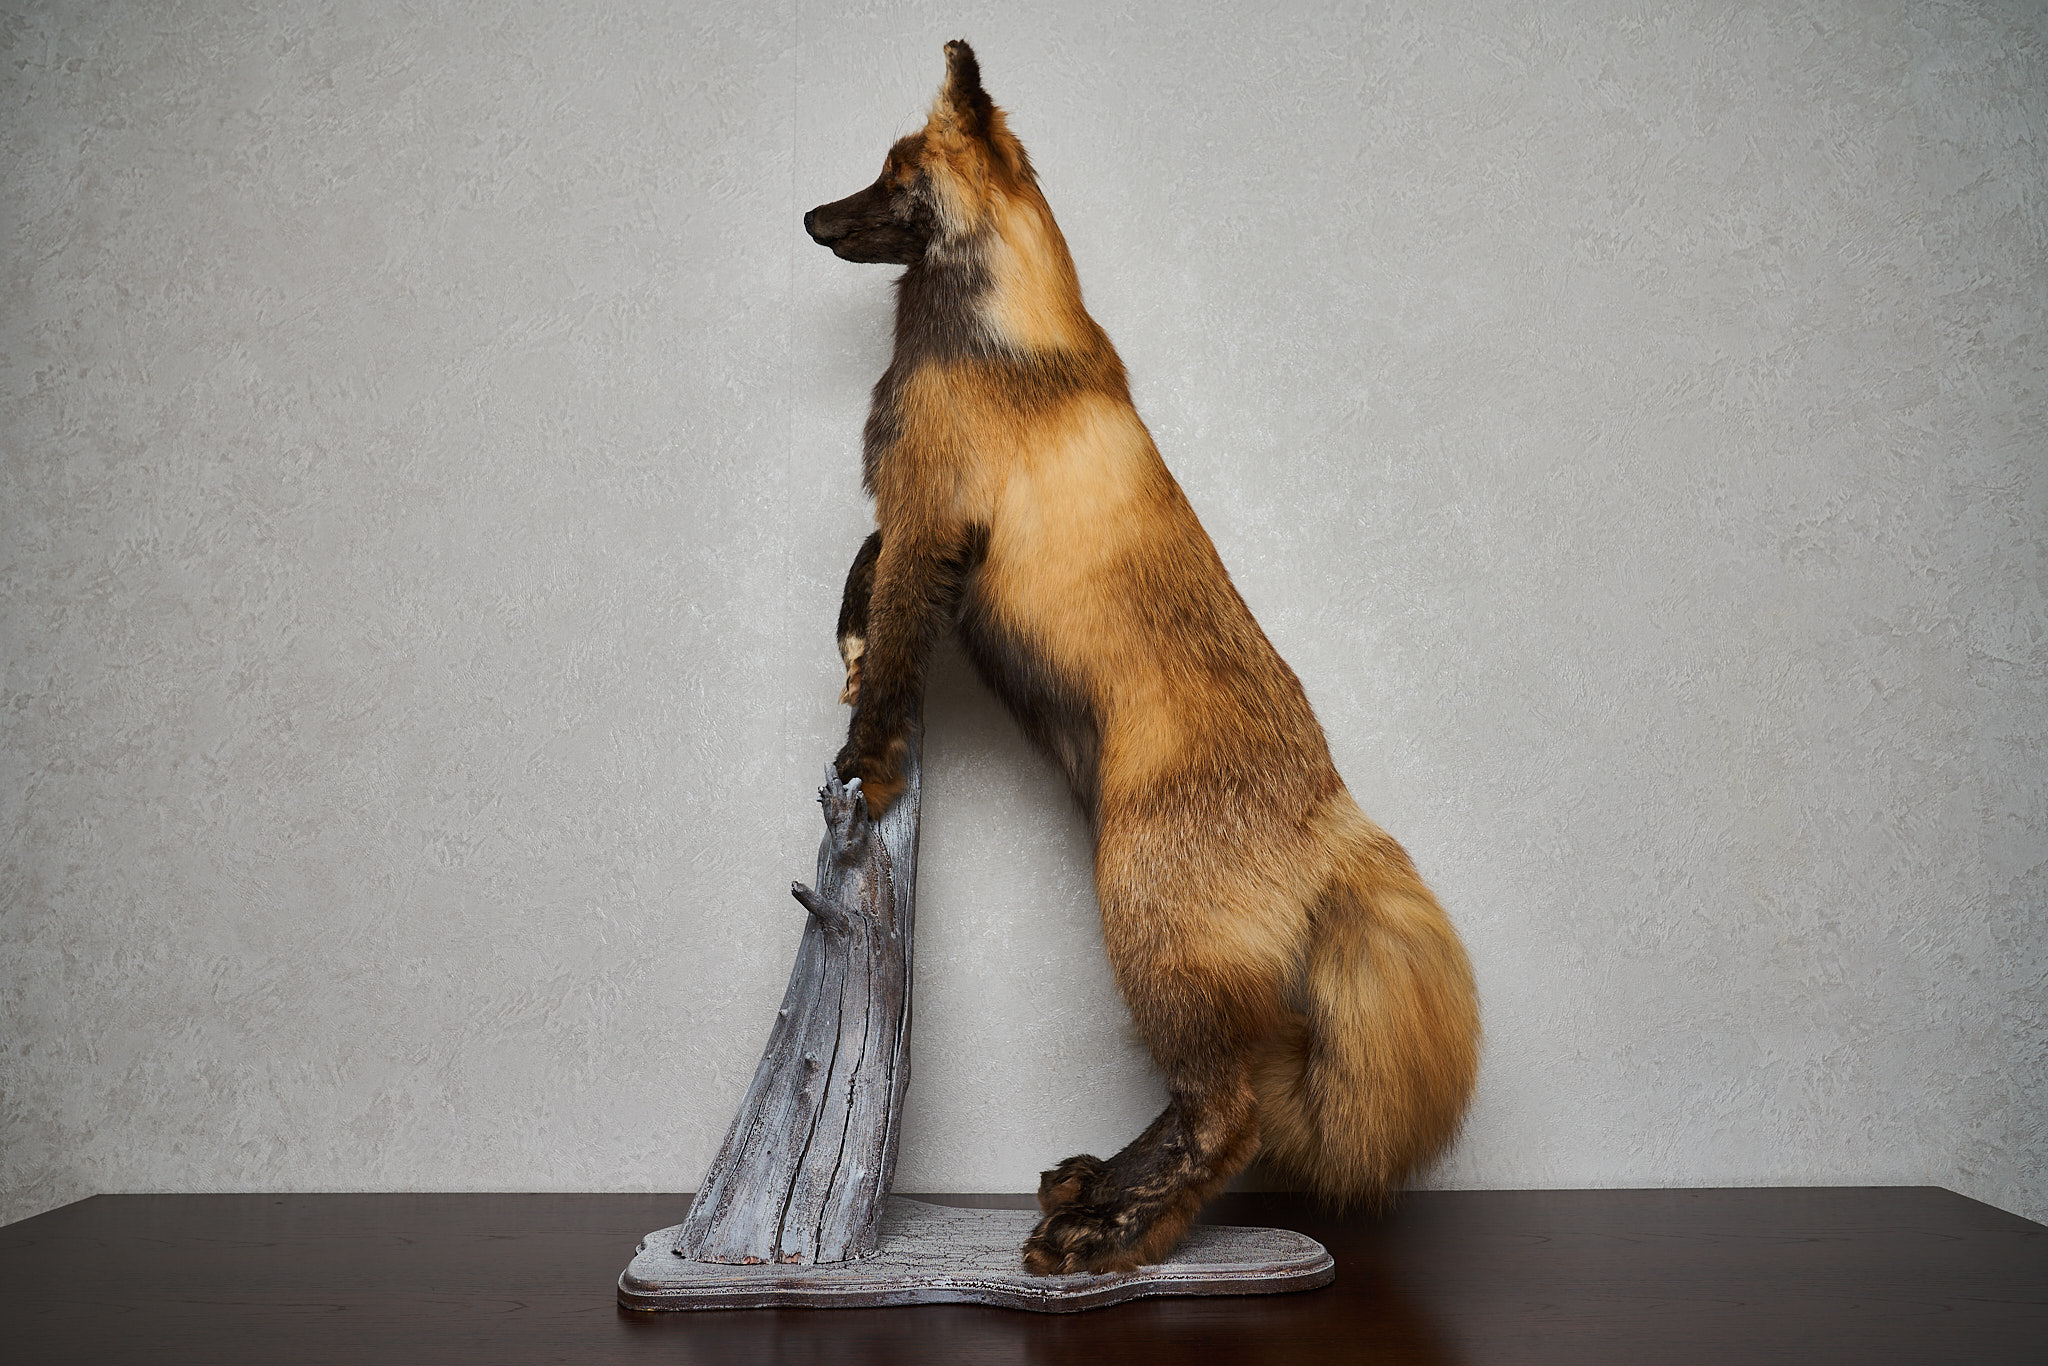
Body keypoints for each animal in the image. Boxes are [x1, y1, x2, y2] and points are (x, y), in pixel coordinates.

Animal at [805, 41, 1480, 1275]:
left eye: (893, 175)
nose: (811, 217)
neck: (989, 340)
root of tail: (1332, 813)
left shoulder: (934, 514)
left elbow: (896, 645)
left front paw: (866, 757)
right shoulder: (916, 514)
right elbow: (864, 582)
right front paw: (845, 642)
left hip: (1143, 924)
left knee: (1235, 1114)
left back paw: (1115, 1229)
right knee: (1216, 1099)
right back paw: (1095, 1189)